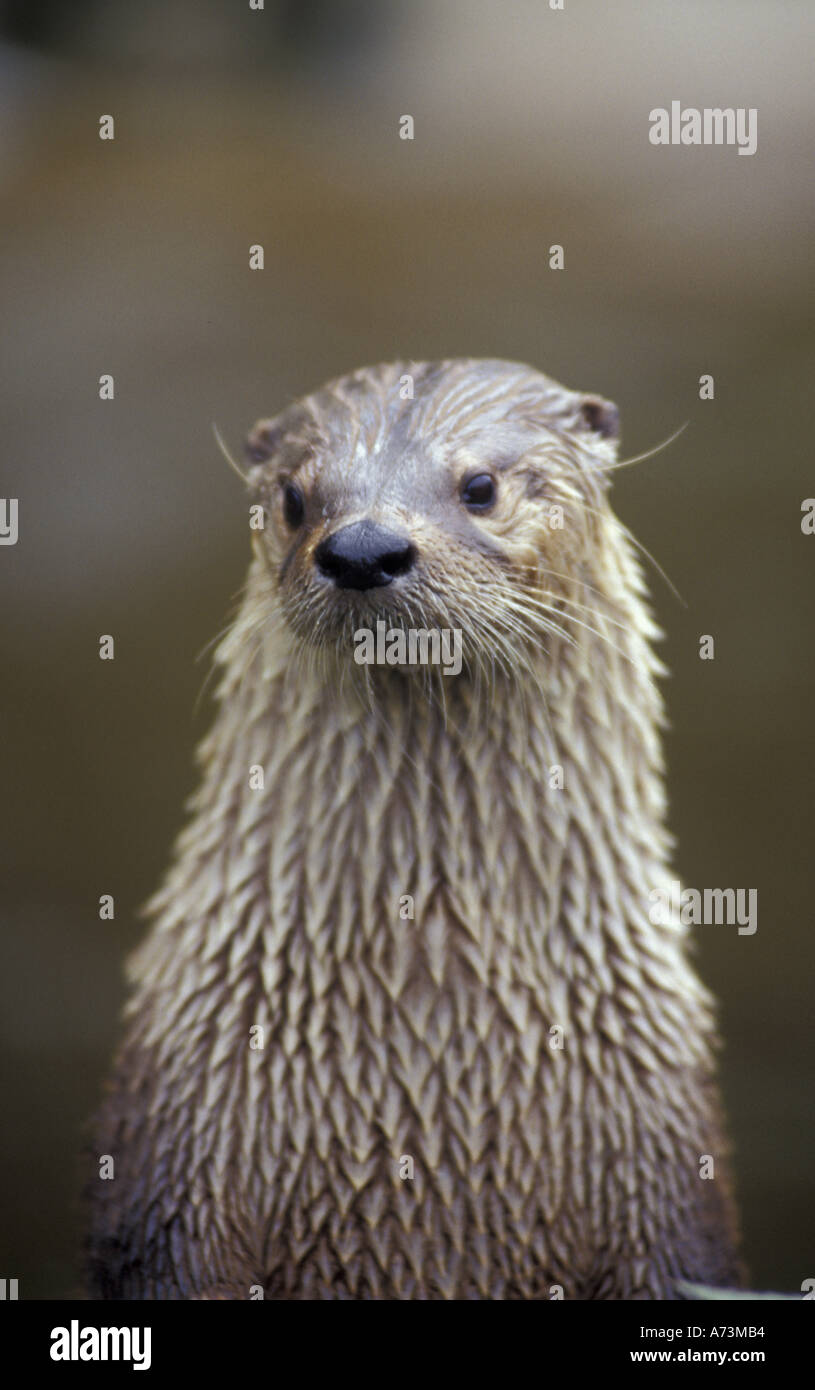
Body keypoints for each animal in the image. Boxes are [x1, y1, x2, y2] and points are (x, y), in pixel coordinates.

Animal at [86, 358, 742, 1300]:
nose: (362, 549)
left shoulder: (669, 1182)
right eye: (294, 497)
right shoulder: (173, 1158)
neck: (431, 996)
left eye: (480, 487)